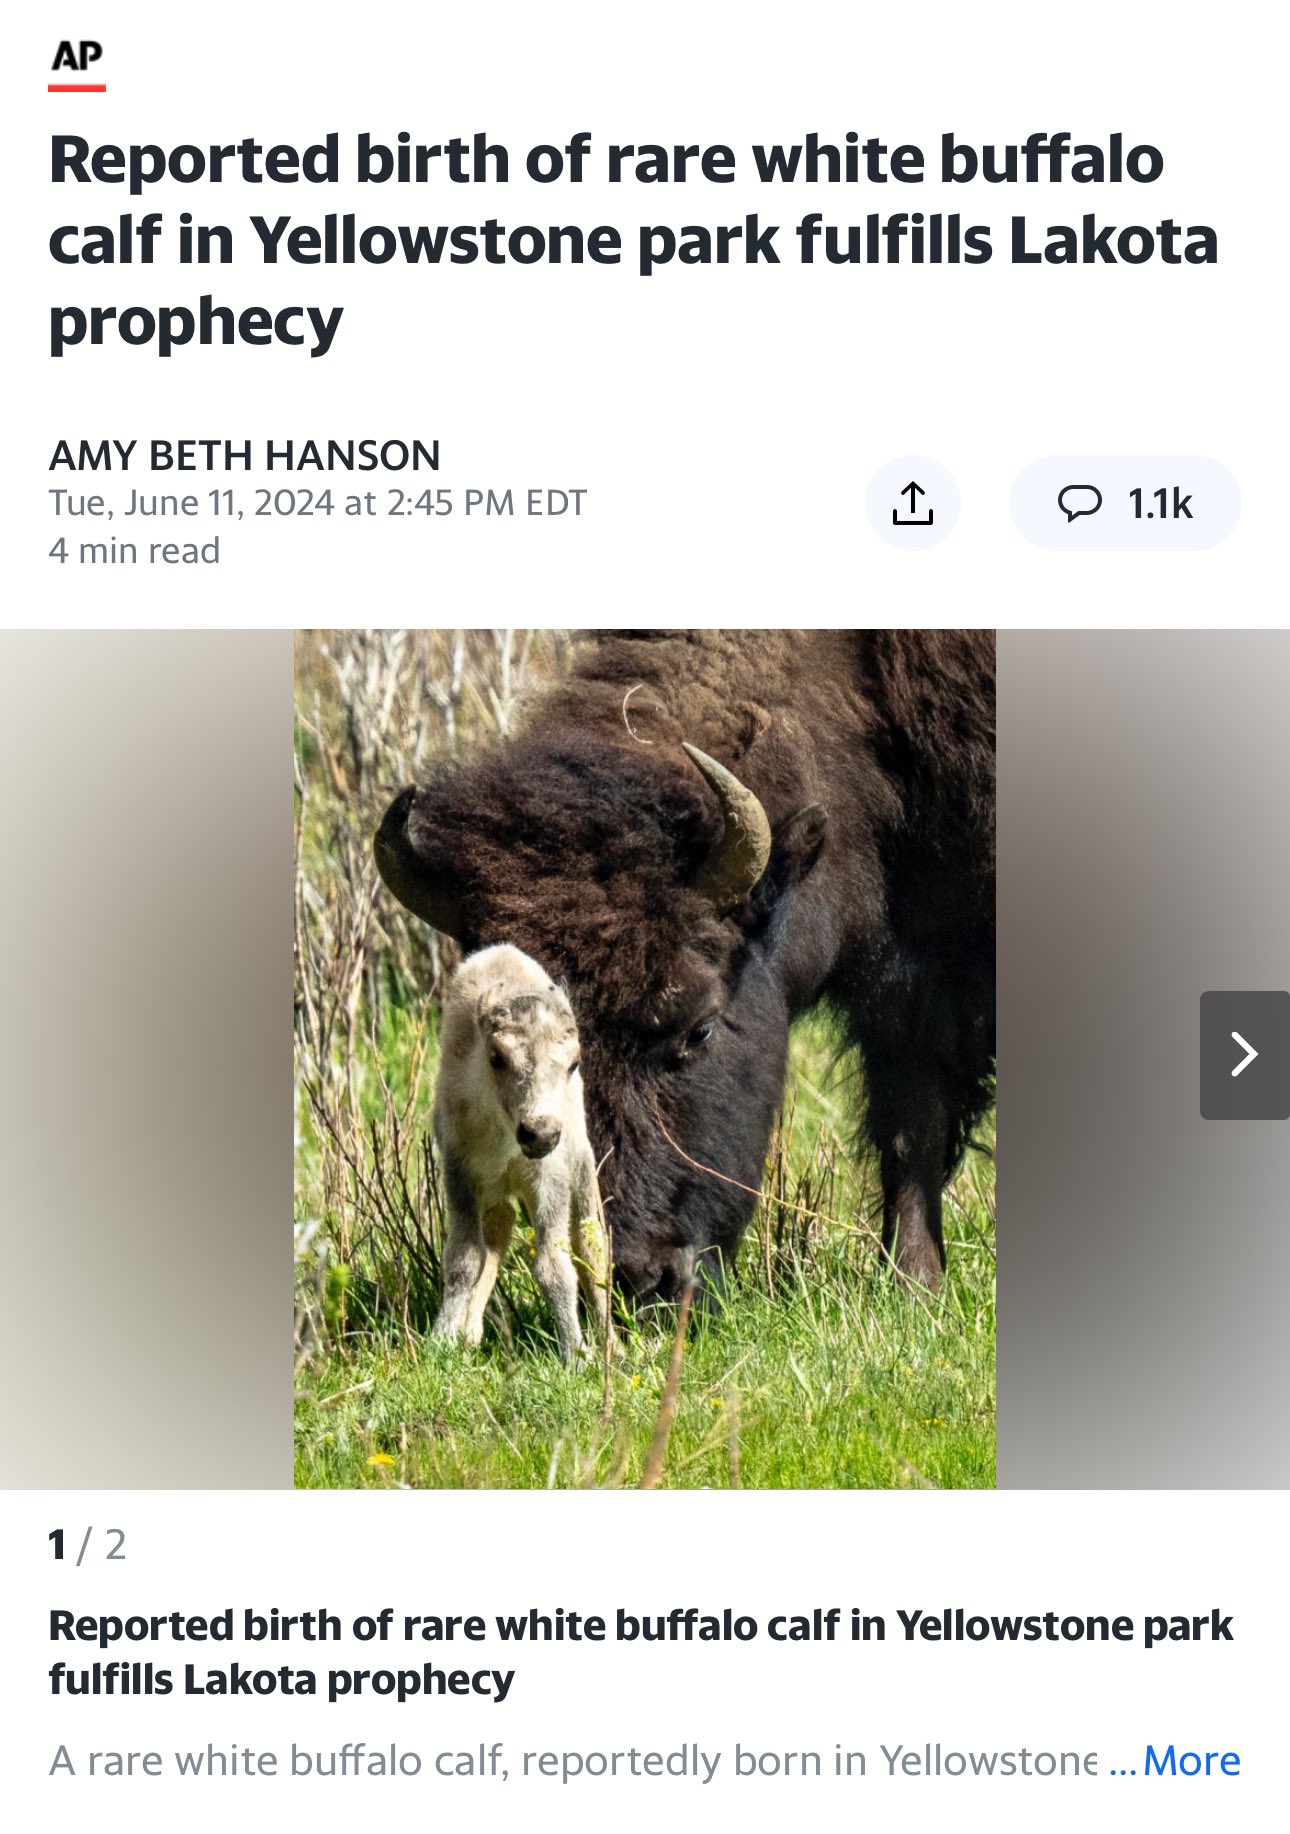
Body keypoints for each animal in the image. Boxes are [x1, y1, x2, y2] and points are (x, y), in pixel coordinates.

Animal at [376, 630, 994, 1303]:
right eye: (497, 1055)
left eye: (699, 1029)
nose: (640, 1279)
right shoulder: (904, 989)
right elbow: (909, 1127)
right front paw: (915, 1285)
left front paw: (912, 1286)